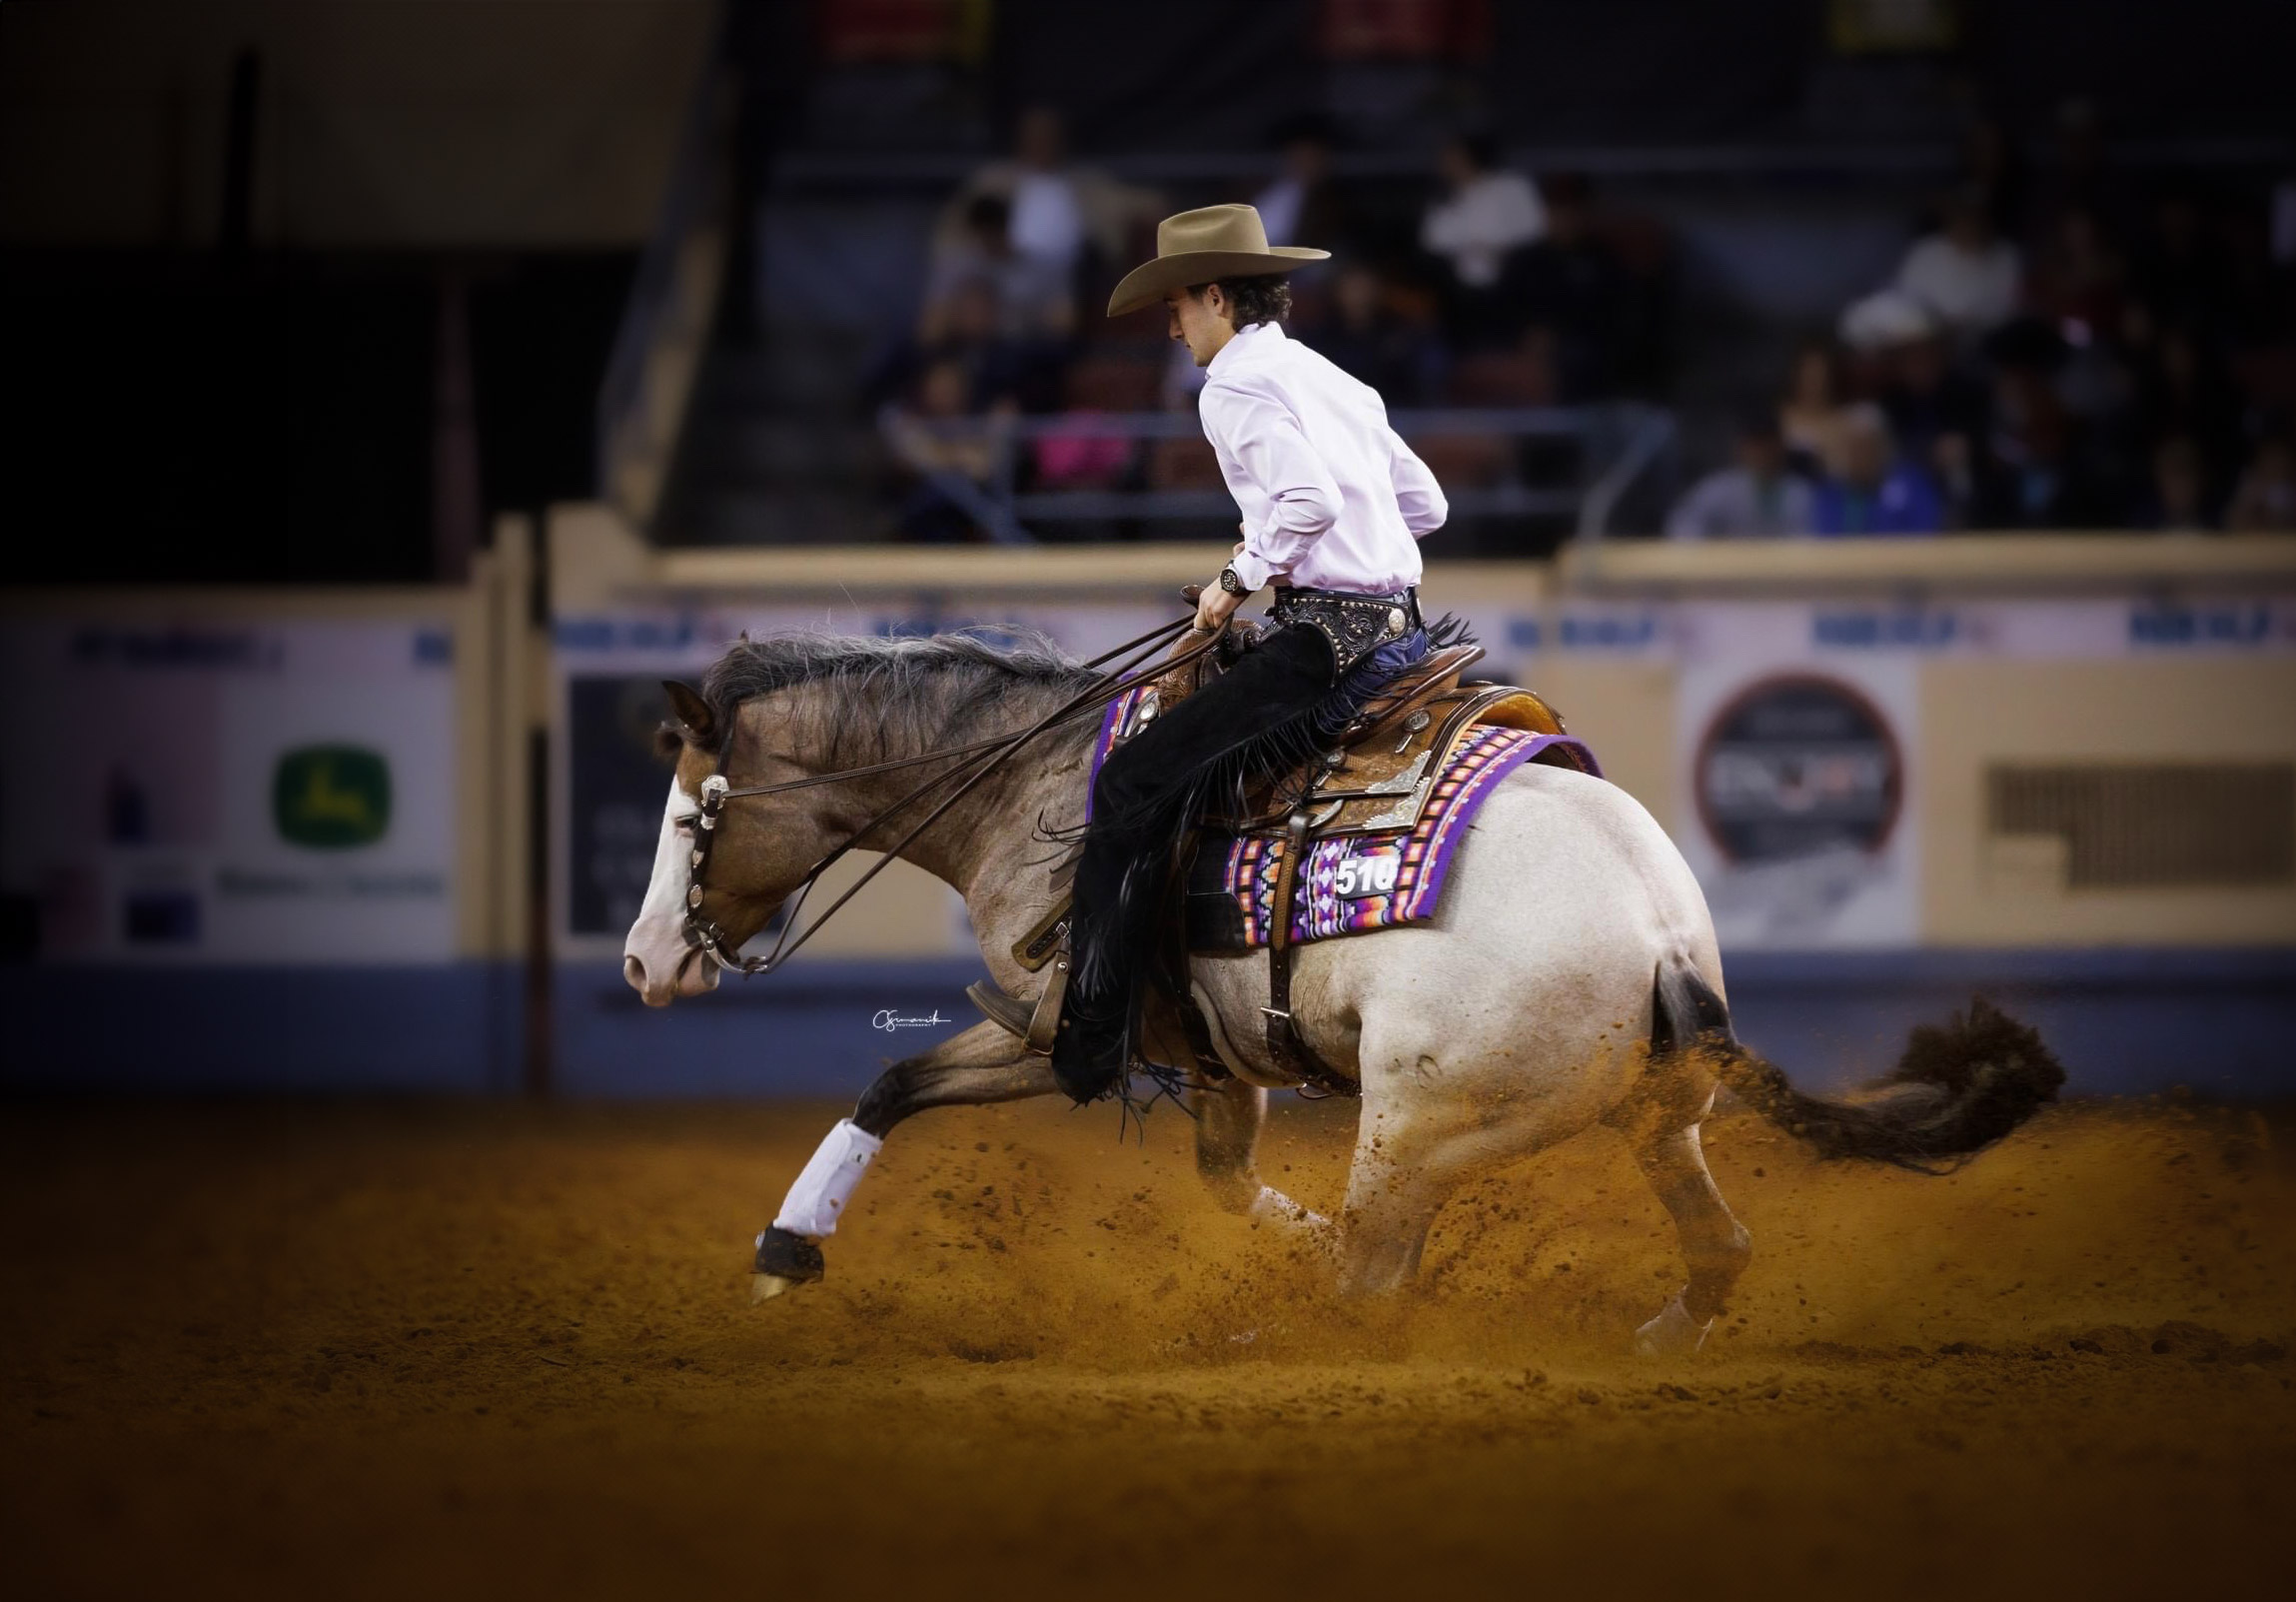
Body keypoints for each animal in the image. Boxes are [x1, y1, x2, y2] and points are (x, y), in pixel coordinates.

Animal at [620, 625, 2064, 1354]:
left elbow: (894, 1075)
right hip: (1657, 1120)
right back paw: (1642, 1341)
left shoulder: (1060, 1026)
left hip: (1417, 1122)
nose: (641, 963)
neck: (1041, 791)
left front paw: (784, 1250)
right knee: (1715, 1249)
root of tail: (1662, 942)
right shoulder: (1215, 1057)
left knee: (1379, 1279)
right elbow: (1218, 1180)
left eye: (693, 813)